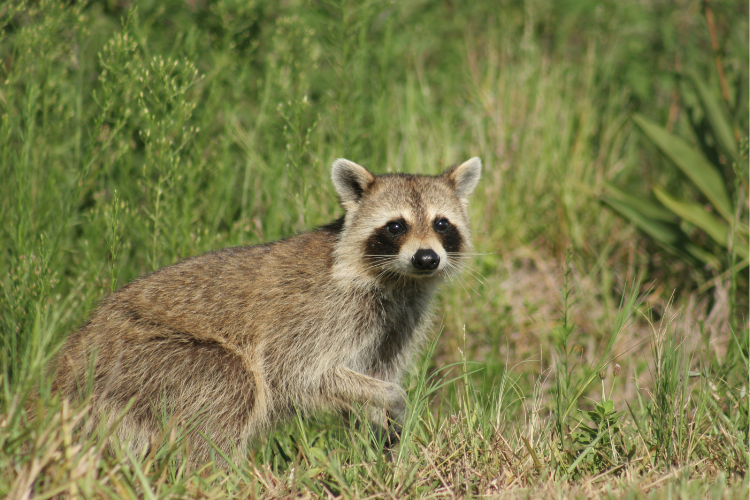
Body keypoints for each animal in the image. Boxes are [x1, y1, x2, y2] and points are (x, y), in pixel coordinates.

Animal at [52, 157, 482, 464]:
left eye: (442, 224)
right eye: (396, 227)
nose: (426, 259)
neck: (398, 281)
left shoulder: (397, 322)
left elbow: (374, 374)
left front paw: (382, 435)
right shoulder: (317, 314)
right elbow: (303, 373)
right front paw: (393, 399)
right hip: (137, 362)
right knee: (229, 383)